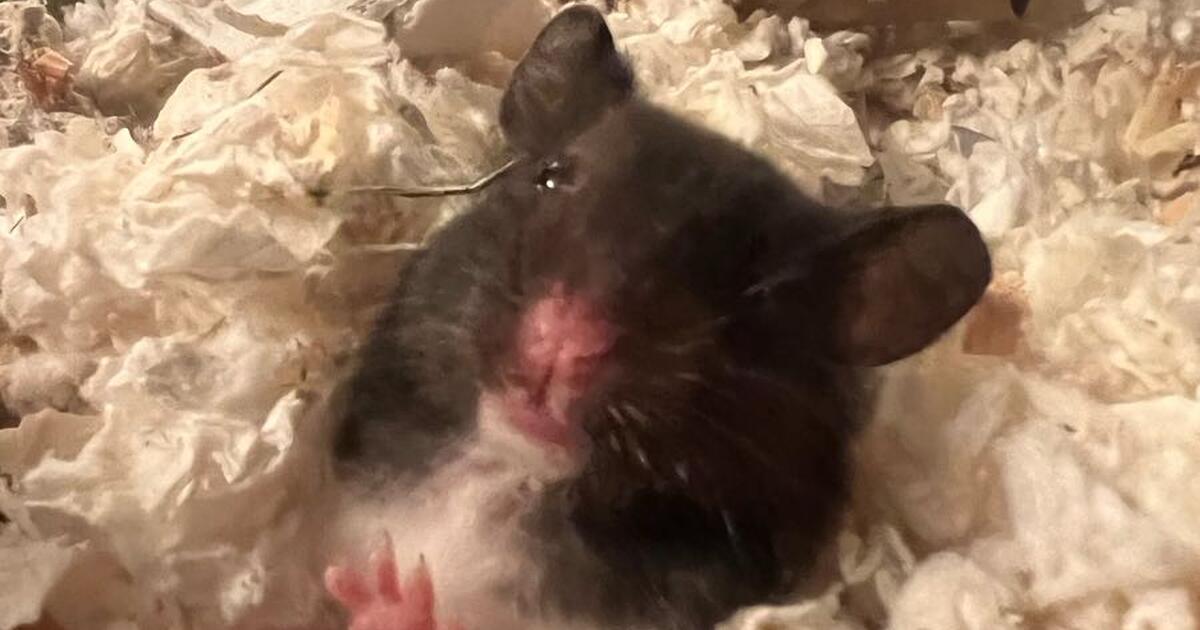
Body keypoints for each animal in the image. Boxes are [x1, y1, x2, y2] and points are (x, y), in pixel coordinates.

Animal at [325, 5, 991, 630]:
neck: (507, 481)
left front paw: (399, 595)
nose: (565, 338)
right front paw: (380, 584)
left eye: (759, 304)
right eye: (551, 177)